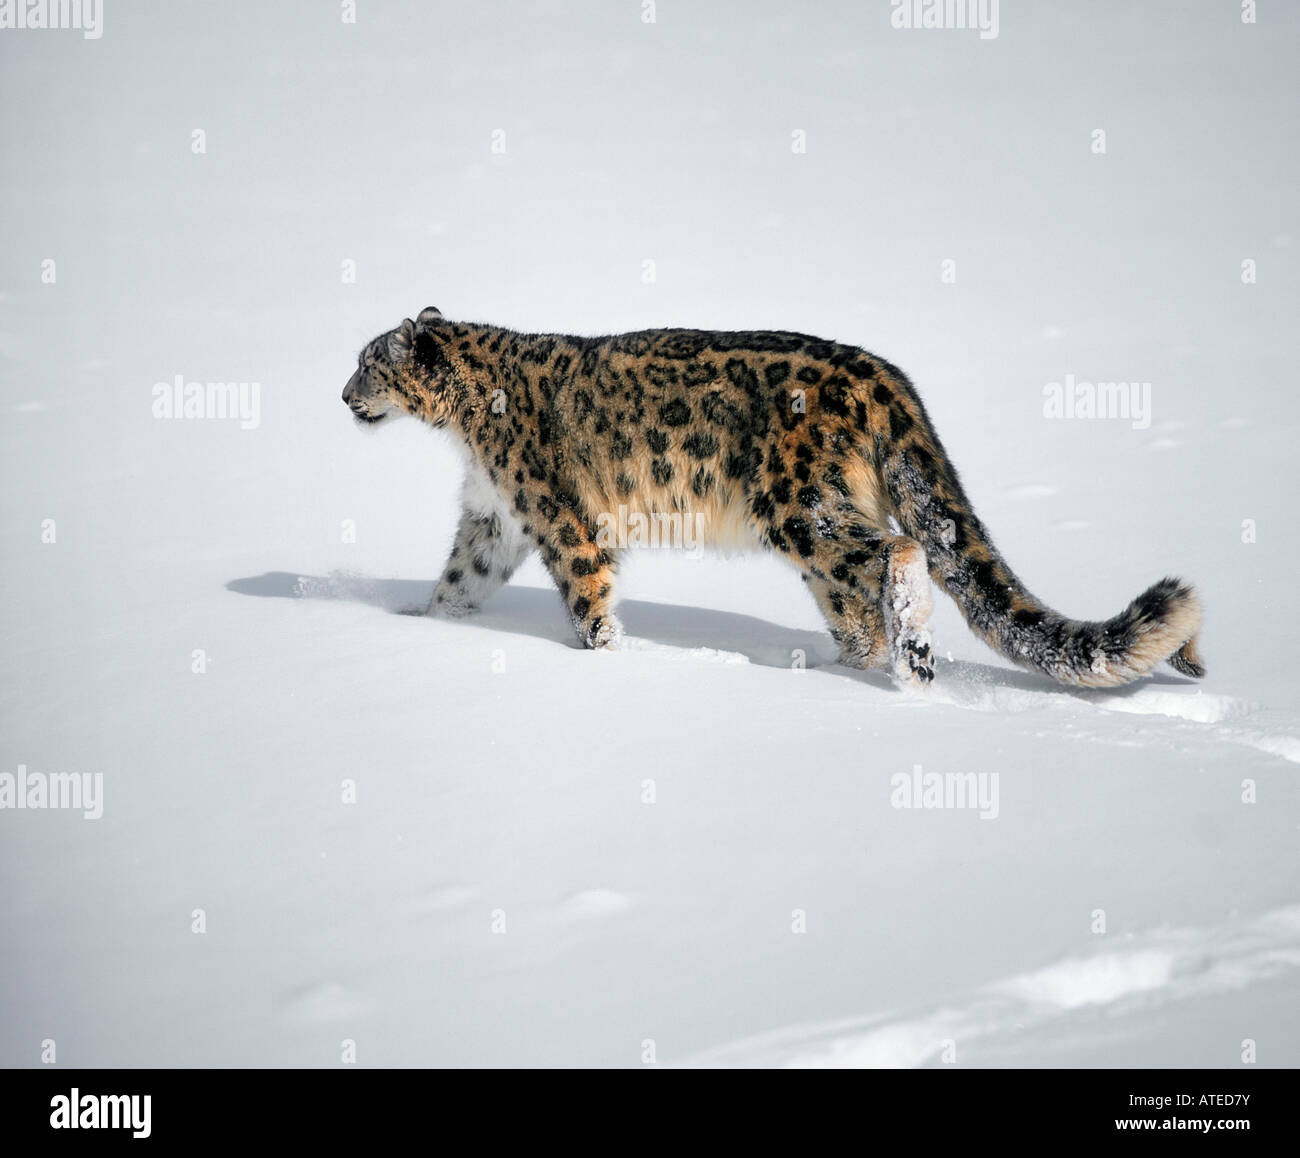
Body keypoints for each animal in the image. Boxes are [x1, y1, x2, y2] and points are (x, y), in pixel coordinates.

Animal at [341, 306, 1204, 689]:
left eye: (369, 363)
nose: (343, 395)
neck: (464, 428)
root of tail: (885, 376)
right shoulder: (492, 518)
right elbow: (459, 579)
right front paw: (424, 622)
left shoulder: (560, 519)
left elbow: (587, 598)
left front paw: (607, 658)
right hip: (816, 535)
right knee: (857, 608)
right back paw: (847, 667)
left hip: (802, 509)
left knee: (898, 551)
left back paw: (910, 659)